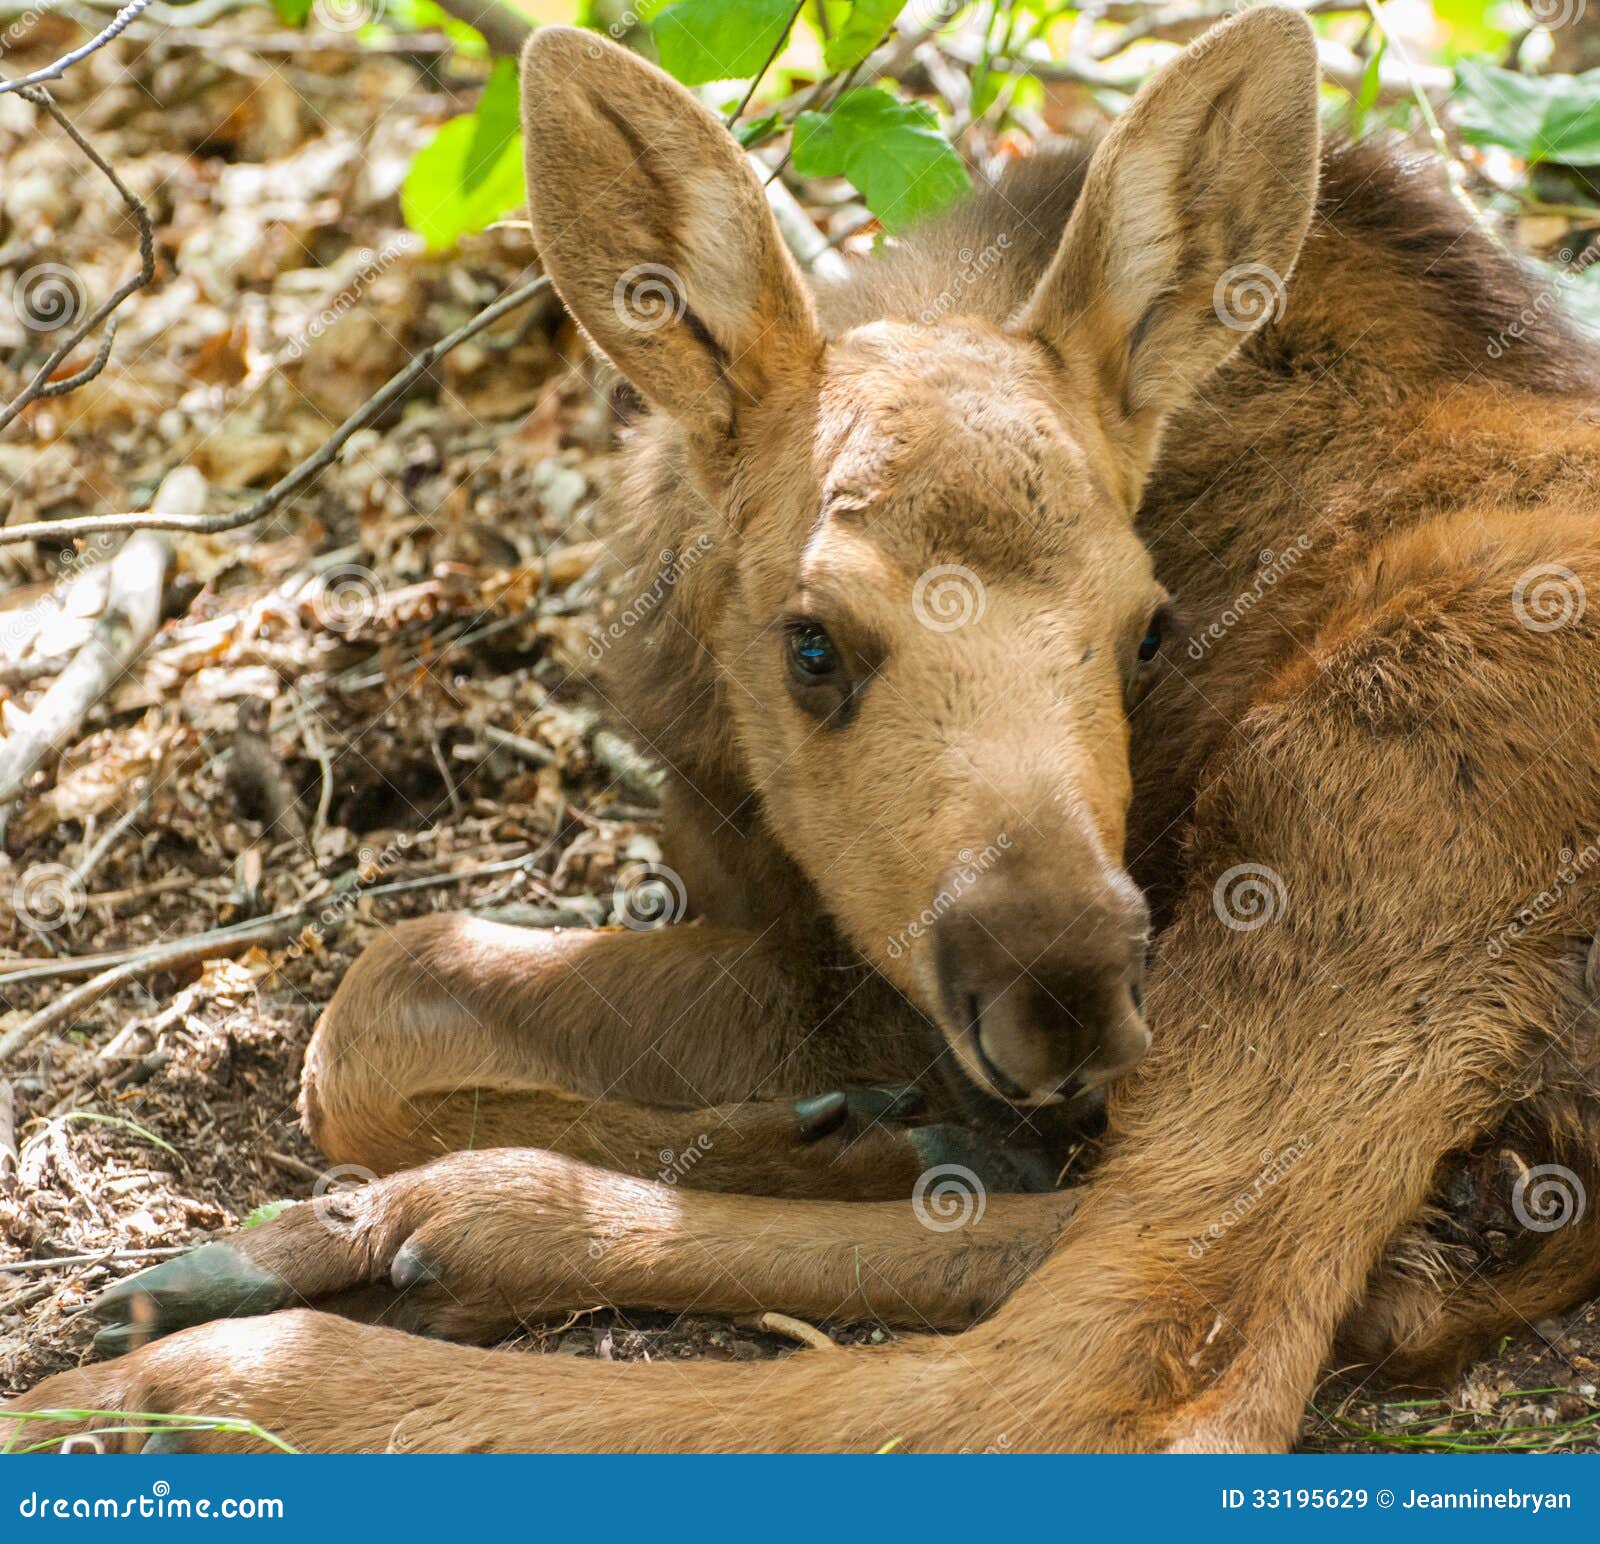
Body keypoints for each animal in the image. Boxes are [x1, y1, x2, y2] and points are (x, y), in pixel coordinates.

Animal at [11, 6, 1600, 1453]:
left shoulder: (860, 969)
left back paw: (206, 1383)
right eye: (812, 640)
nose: (1063, 982)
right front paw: (860, 1134)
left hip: (1355, 803)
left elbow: (375, 999)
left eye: (1149, 627)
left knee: (1103, 1371)